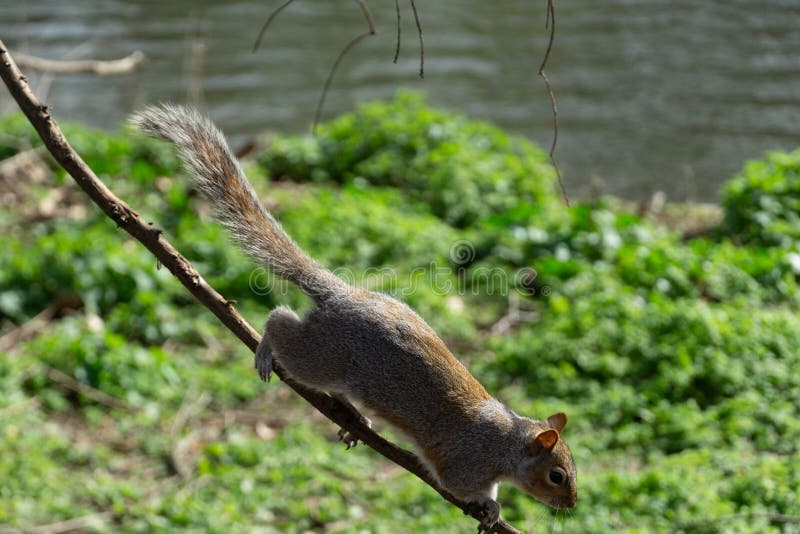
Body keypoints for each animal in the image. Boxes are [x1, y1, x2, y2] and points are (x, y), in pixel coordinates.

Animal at [132, 104, 577, 532]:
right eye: (556, 475)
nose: (572, 504)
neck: (506, 444)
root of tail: (341, 293)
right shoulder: (464, 464)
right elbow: (460, 485)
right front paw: (492, 507)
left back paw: (355, 419)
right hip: (321, 356)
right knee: (280, 322)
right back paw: (266, 350)